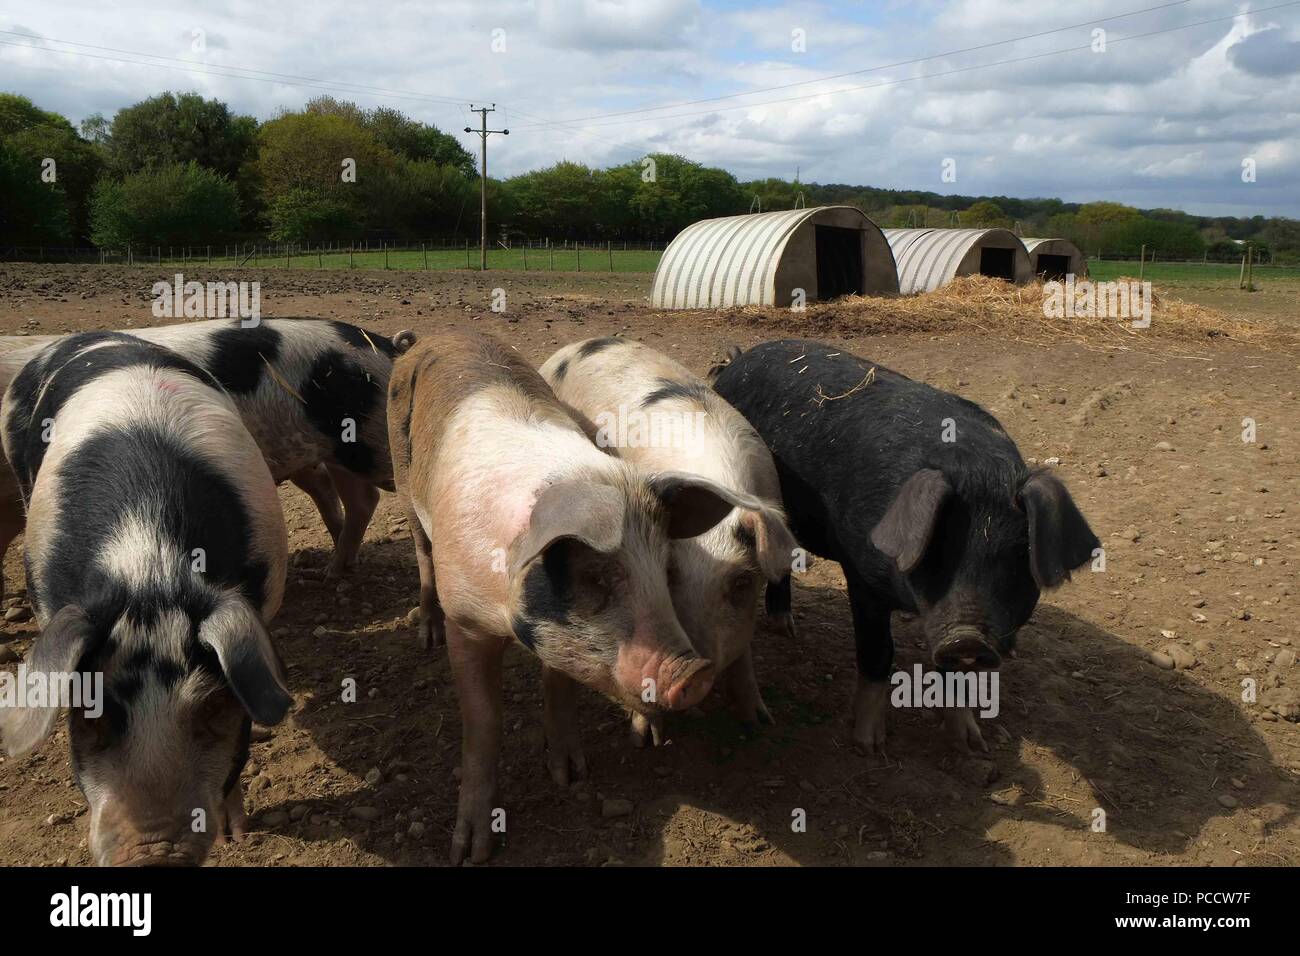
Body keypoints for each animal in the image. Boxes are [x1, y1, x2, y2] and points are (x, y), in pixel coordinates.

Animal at [388, 331, 758, 864]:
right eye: (595, 576)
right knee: (421, 550)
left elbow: (559, 686)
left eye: (664, 568)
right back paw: (426, 634)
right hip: (402, 479)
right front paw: (470, 851)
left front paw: (570, 775)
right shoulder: (467, 621)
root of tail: (436, 335)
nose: (694, 672)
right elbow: (483, 721)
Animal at [539, 337, 797, 744]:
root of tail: (572, 346)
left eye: (741, 583)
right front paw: (644, 738)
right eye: (667, 574)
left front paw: (759, 721)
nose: (697, 671)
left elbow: (743, 648)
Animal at [711, 339, 1099, 753]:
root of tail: (738, 360)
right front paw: (868, 744)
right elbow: (878, 653)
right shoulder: (861, 577)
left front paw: (972, 743)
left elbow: (954, 673)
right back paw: (785, 628)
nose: (968, 636)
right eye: (937, 554)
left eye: (1015, 561)